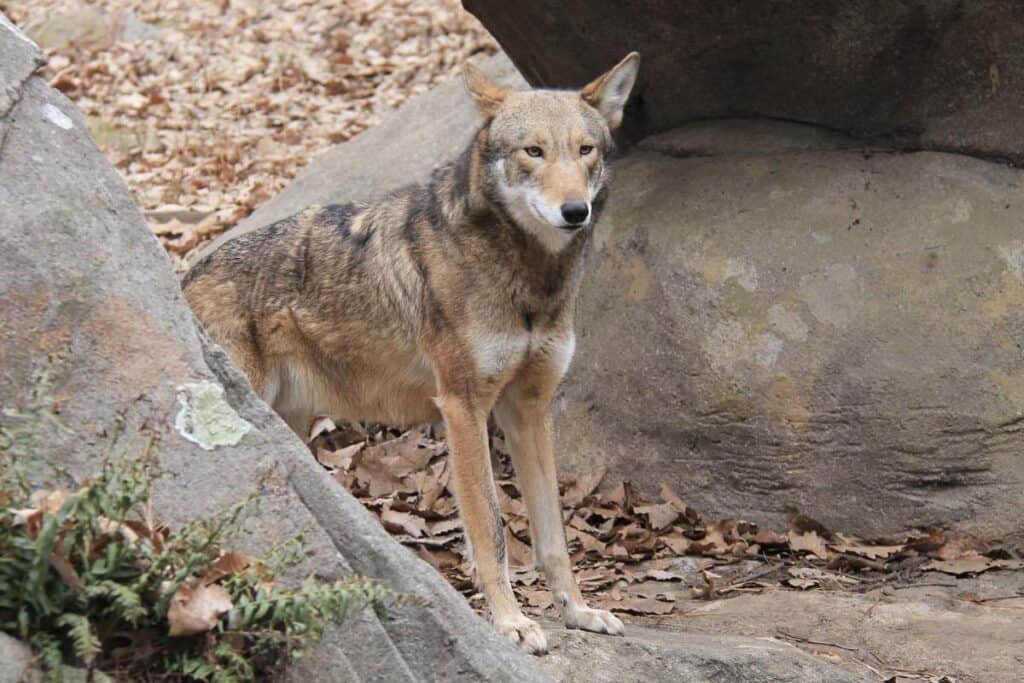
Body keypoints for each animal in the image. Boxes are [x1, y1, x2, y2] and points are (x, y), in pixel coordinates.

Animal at [182, 52, 640, 654]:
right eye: (533, 151)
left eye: (584, 149)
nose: (574, 210)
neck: (529, 280)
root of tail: (183, 277)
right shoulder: (464, 409)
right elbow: (491, 531)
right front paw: (511, 622)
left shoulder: (528, 411)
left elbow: (553, 537)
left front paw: (579, 611)